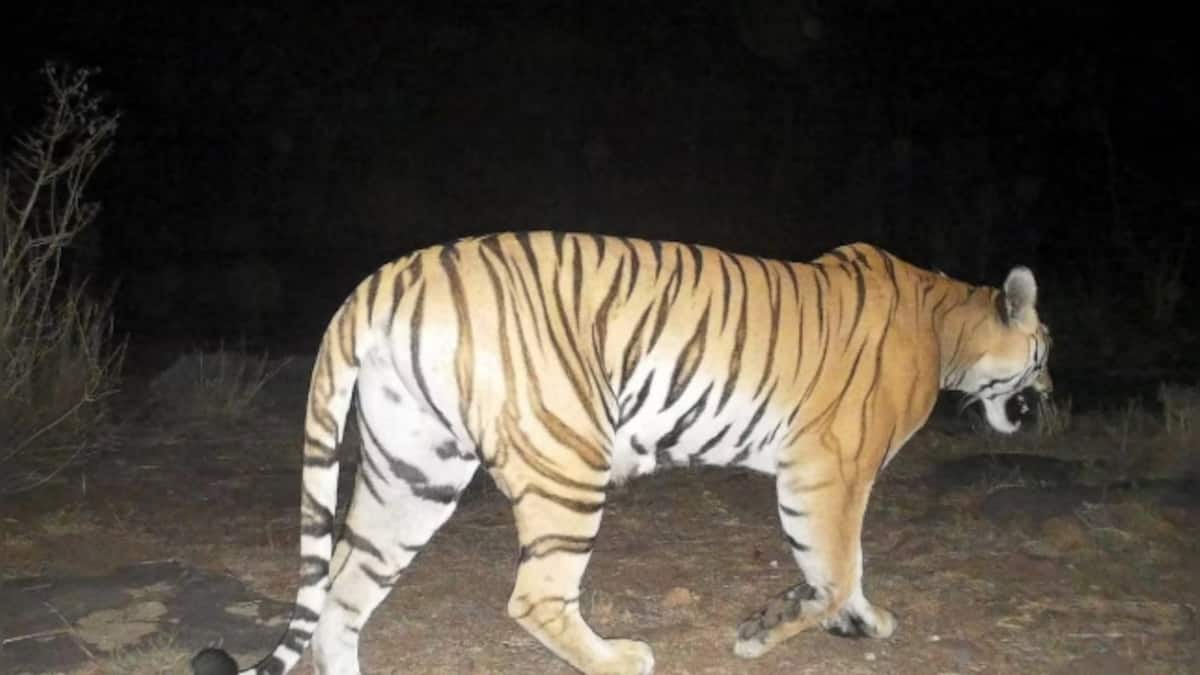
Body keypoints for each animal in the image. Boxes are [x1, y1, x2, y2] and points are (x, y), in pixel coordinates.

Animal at [191, 231, 1051, 675]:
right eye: (1043, 352)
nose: (1047, 400)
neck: (948, 323)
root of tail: (378, 282)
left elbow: (845, 570)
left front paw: (858, 620)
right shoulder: (829, 466)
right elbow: (837, 566)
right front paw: (775, 626)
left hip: (413, 473)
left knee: (340, 594)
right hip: (567, 457)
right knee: (535, 595)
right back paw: (621, 657)